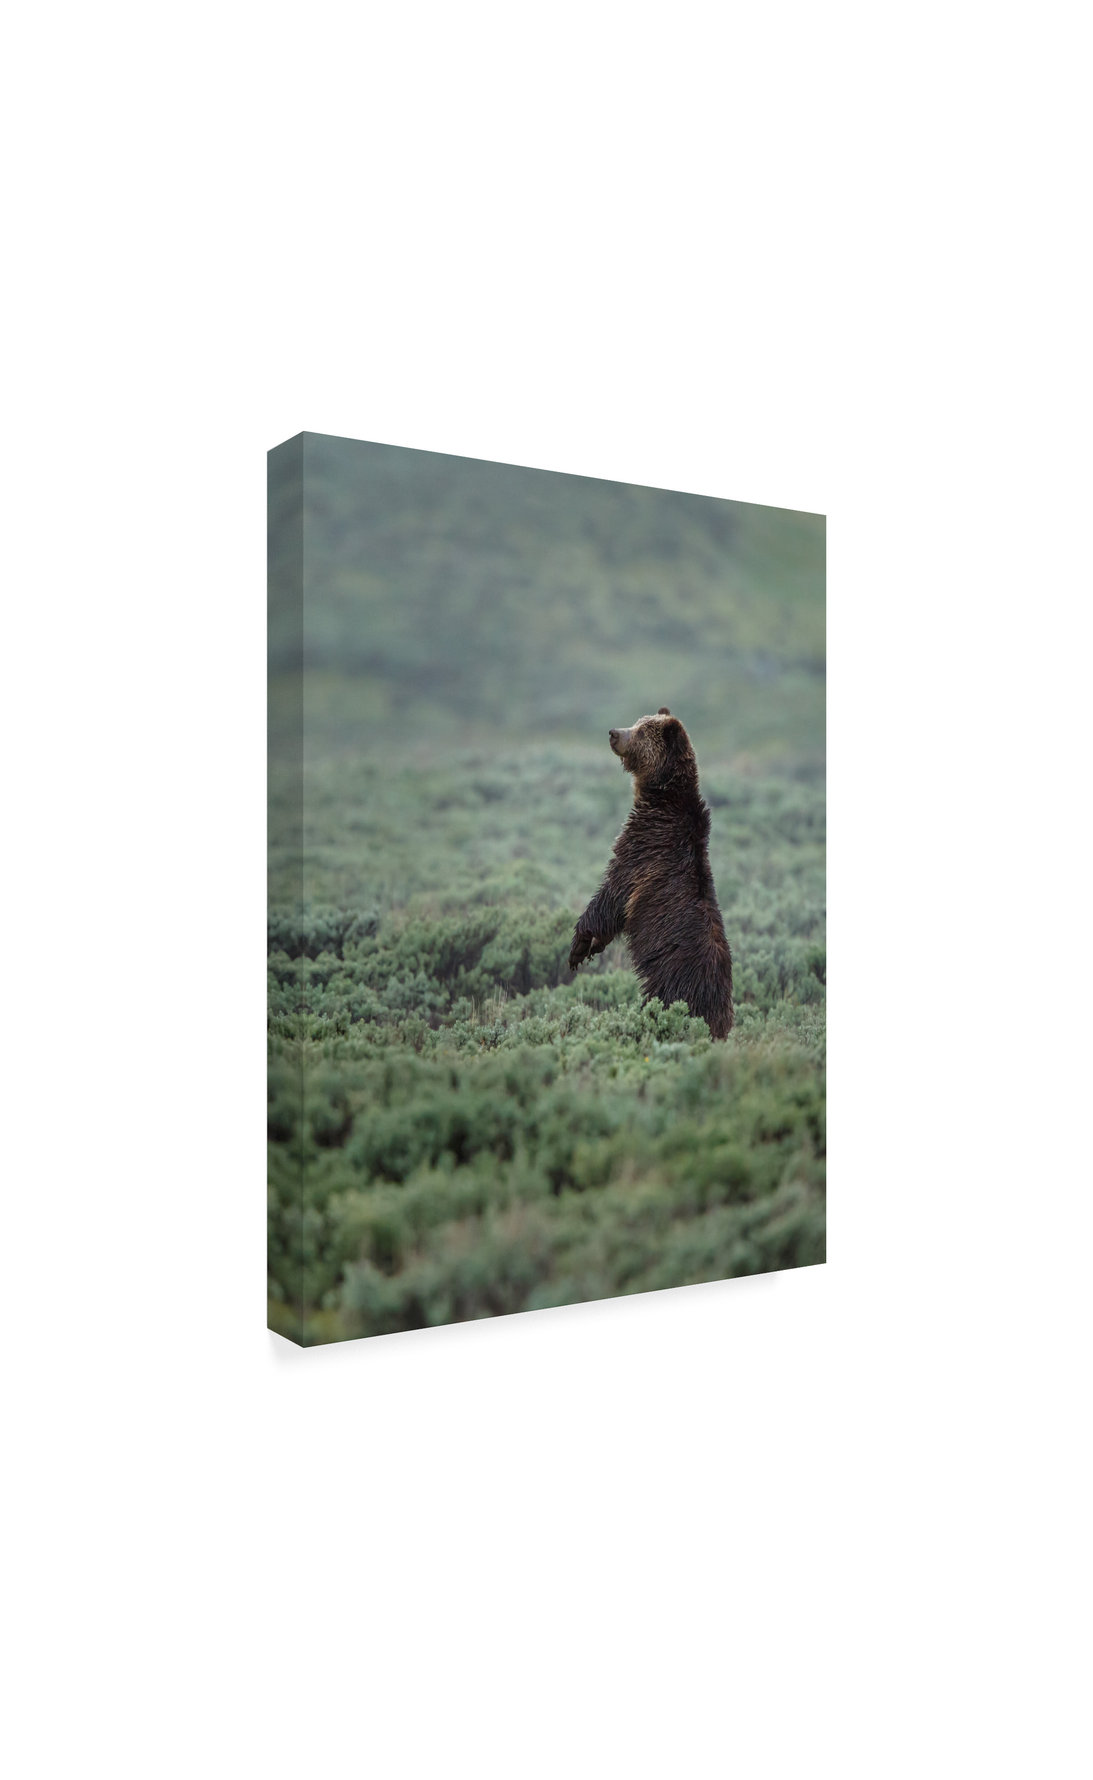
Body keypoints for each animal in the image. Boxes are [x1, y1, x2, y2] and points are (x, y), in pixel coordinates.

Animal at [569, 708, 734, 1039]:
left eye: (642, 731)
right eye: (636, 722)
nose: (613, 733)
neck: (662, 799)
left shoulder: (643, 850)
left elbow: (612, 895)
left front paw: (579, 945)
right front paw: (594, 946)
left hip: (672, 980)